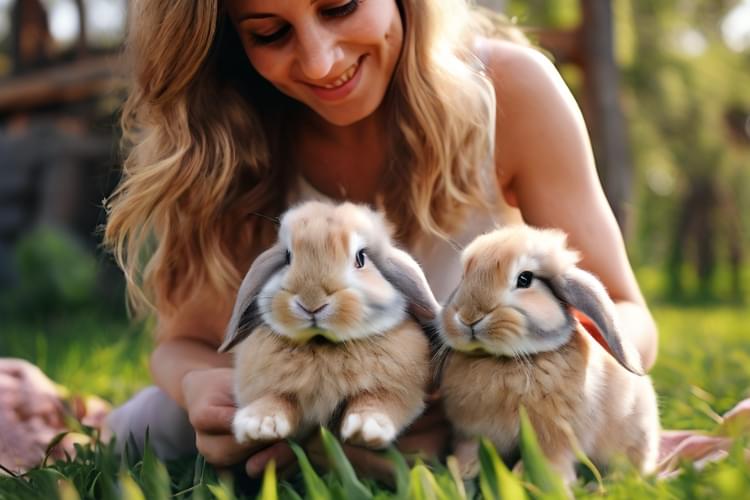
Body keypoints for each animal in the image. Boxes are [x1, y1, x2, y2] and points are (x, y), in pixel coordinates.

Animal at [219, 200, 438, 449]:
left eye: (361, 258)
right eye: (287, 257)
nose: (312, 303)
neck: (322, 345)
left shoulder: (395, 390)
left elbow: (377, 400)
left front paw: (367, 427)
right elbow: (276, 398)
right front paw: (259, 425)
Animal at [436, 225, 659, 483]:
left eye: (524, 279)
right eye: (463, 276)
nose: (469, 317)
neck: (501, 361)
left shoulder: (554, 436)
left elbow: (549, 459)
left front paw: (537, 478)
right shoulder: (472, 432)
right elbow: (469, 450)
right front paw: (460, 471)